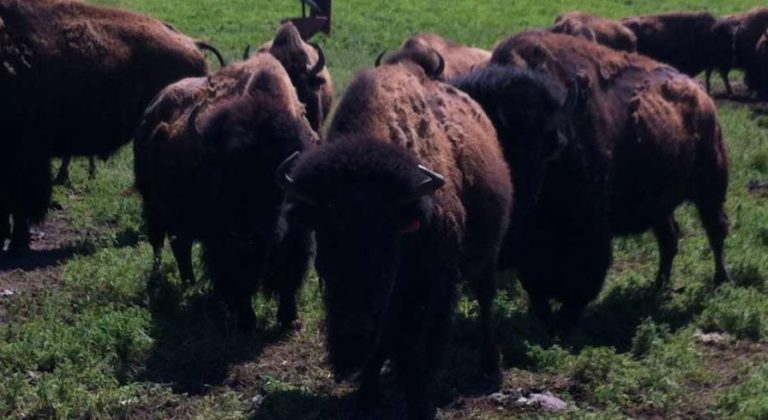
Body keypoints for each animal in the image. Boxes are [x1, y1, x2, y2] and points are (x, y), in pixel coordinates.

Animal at [134, 53, 318, 328]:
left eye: (274, 189)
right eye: (221, 180)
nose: (241, 232)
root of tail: (152, 108)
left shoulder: (296, 234)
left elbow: (288, 274)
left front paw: (290, 320)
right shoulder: (222, 241)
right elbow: (237, 278)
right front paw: (246, 321)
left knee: (180, 245)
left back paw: (191, 285)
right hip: (154, 205)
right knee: (159, 243)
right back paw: (163, 282)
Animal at [277, 58, 512, 417]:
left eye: (388, 236)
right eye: (326, 232)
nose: (353, 326)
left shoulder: (436, 288)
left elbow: (421, 347)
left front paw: (418, 401)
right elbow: (384, 343)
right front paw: (367, 396)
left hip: (488, 256)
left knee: (486, 300)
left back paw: (490, 364)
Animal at [455, 31, 731, 329]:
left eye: (532, 152)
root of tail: (700, 95)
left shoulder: (590, 235)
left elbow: (580, 287)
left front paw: (564, 325)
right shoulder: (531, 256)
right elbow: (537, 291)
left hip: (710, 186)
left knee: (716, 230)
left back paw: (721, 282)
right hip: (660, 204)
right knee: (669, 237)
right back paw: (658, 286)